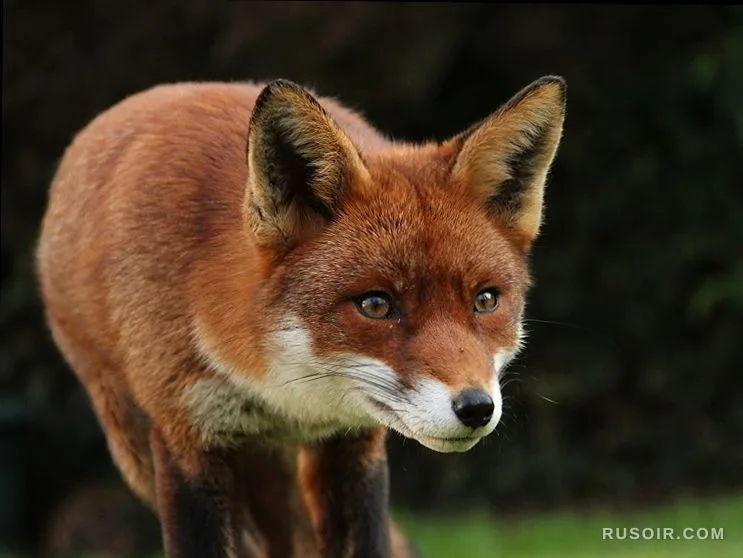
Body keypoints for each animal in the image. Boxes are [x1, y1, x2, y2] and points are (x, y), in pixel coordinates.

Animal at [36, 75, 566, 557]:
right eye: (376, 305)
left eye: (486, 301)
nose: (476, 408)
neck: (282, 397)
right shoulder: (188, 442)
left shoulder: (352, 444)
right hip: (137, 450)